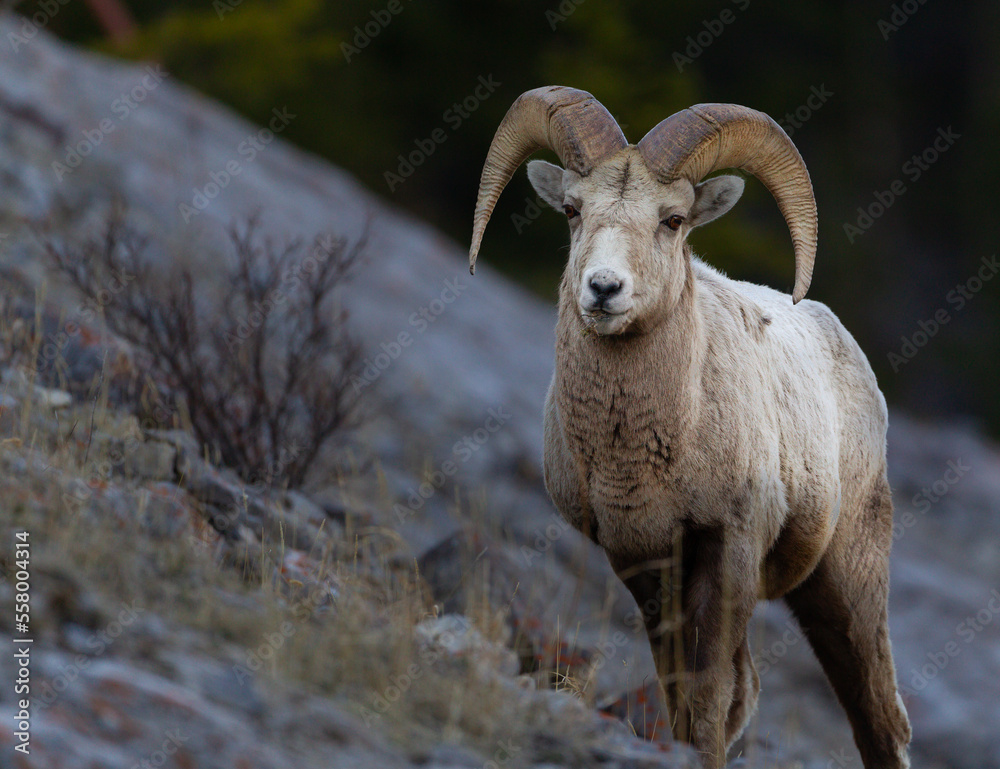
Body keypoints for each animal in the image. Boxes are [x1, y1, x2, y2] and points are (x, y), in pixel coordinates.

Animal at [467, 86, 912, 769]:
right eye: (572, 209)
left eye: (672, 220)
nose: (603, 289)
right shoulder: (643, 564)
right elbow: (681, 691)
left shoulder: (725, 550)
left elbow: (706, 694)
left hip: (844, 581)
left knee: (877, 715)